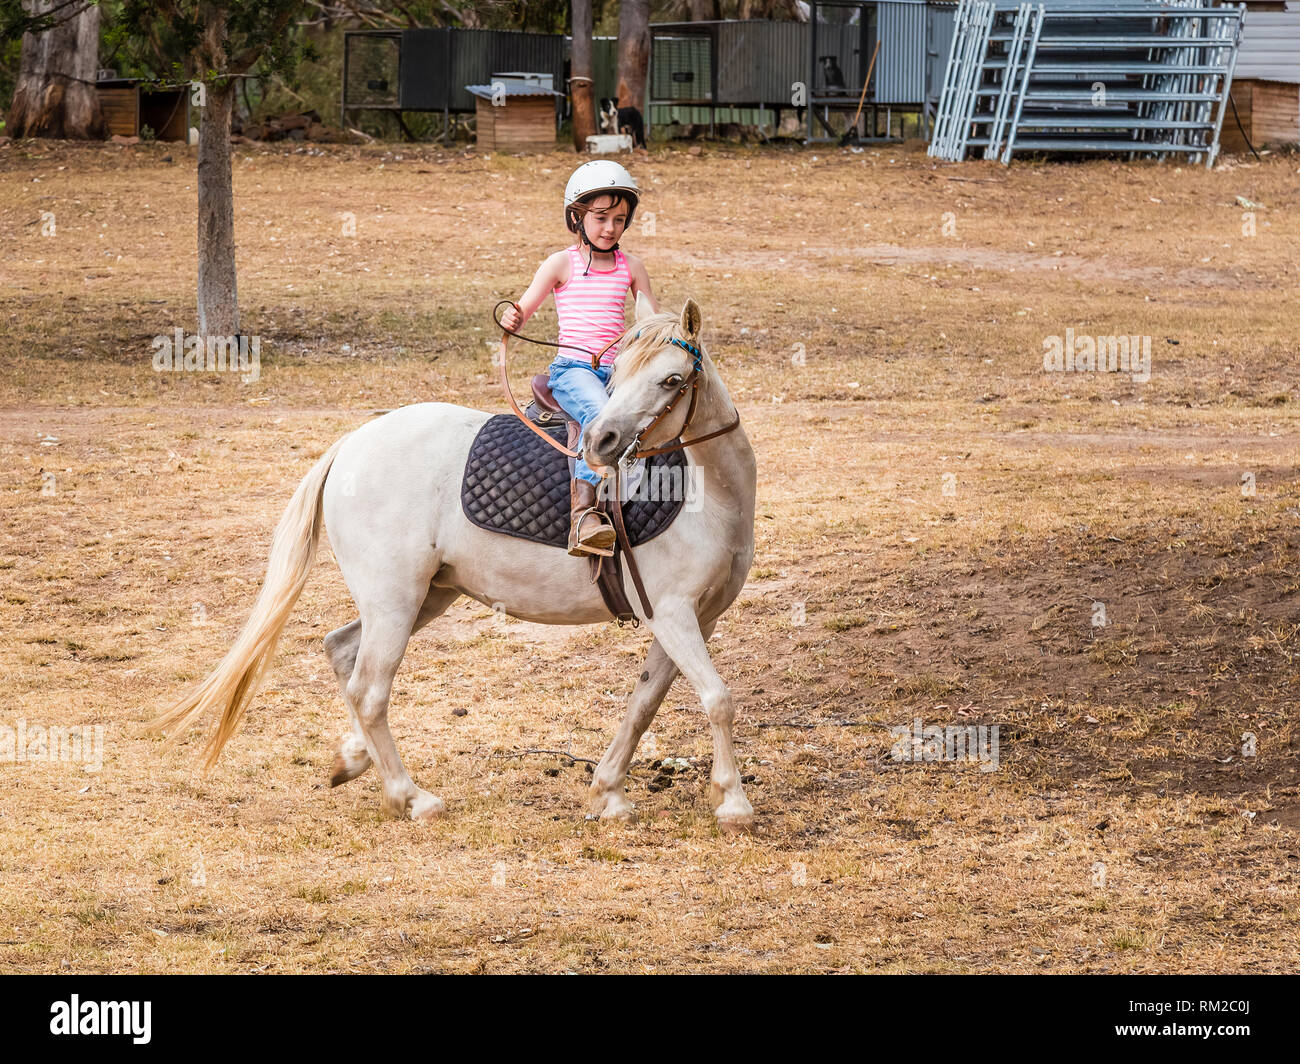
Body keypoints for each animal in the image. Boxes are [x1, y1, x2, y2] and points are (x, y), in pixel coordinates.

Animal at [154, 295, 760, 830]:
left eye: (672, 380)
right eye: (618, 376)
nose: (601, 441)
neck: (707, 495)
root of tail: (352, 444)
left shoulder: (694, 620)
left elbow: (644, 702)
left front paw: (609, 793)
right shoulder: (672, 613)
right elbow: (718, 699)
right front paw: (732, 804)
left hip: (426, 595)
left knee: (341, 651)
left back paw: (354, 760)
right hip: (395, 602)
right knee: (369, 689)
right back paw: (411, 797)